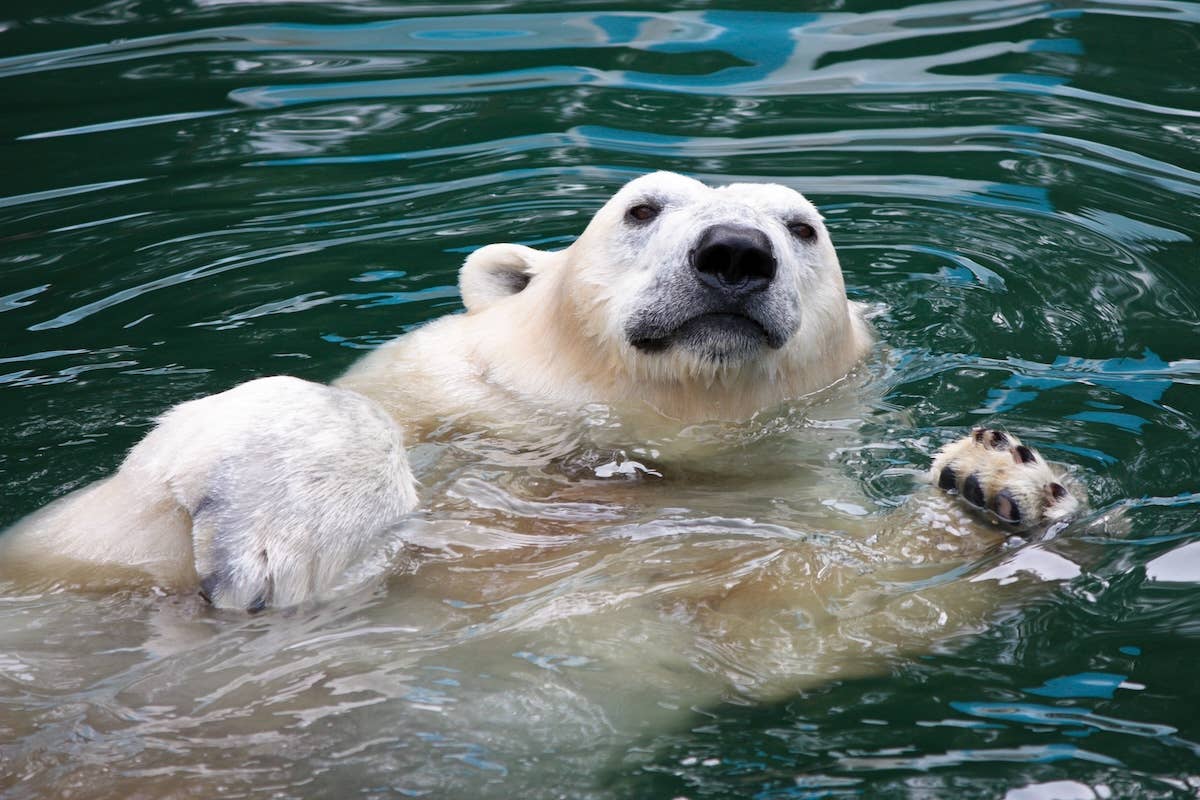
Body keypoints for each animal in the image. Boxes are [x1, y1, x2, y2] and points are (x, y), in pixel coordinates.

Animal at [0, 171, 1079, 614]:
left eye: (803, 225)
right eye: (641, 207)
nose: (734, 253)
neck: (621, 452)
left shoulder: (757, 520)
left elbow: (812, 607)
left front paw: (996, 481)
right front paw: (280, 532)